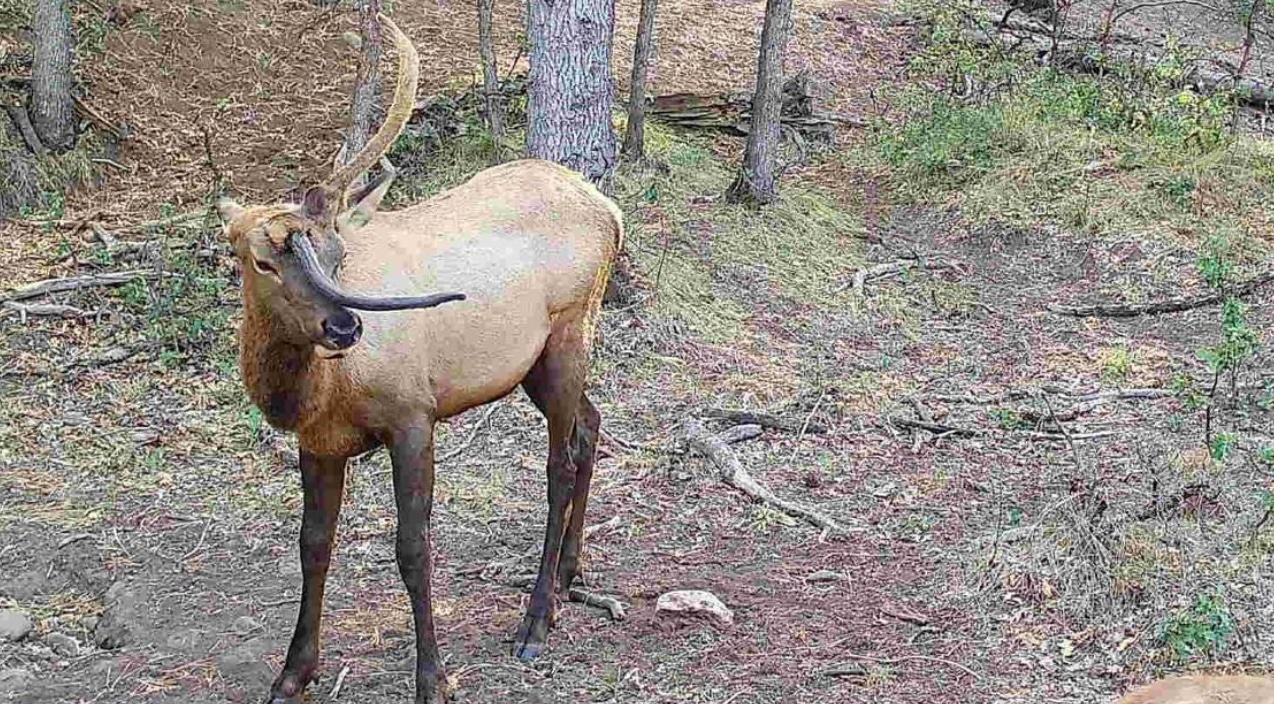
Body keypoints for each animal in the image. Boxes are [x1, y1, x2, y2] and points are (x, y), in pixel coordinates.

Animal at [215, 14, 623, 704]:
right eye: (261, 261)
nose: (345, 325)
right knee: (591, 427)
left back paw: (536, 621)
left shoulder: (412, 416)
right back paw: (571, 574)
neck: (323, 390)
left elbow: (412, 546)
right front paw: (294, 671)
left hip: (571, 331)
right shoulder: (318, 441)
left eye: (337, 252)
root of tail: (611, 210)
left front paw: (432, 676)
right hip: (531, 364)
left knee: (561, 462)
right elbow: (312, 543)